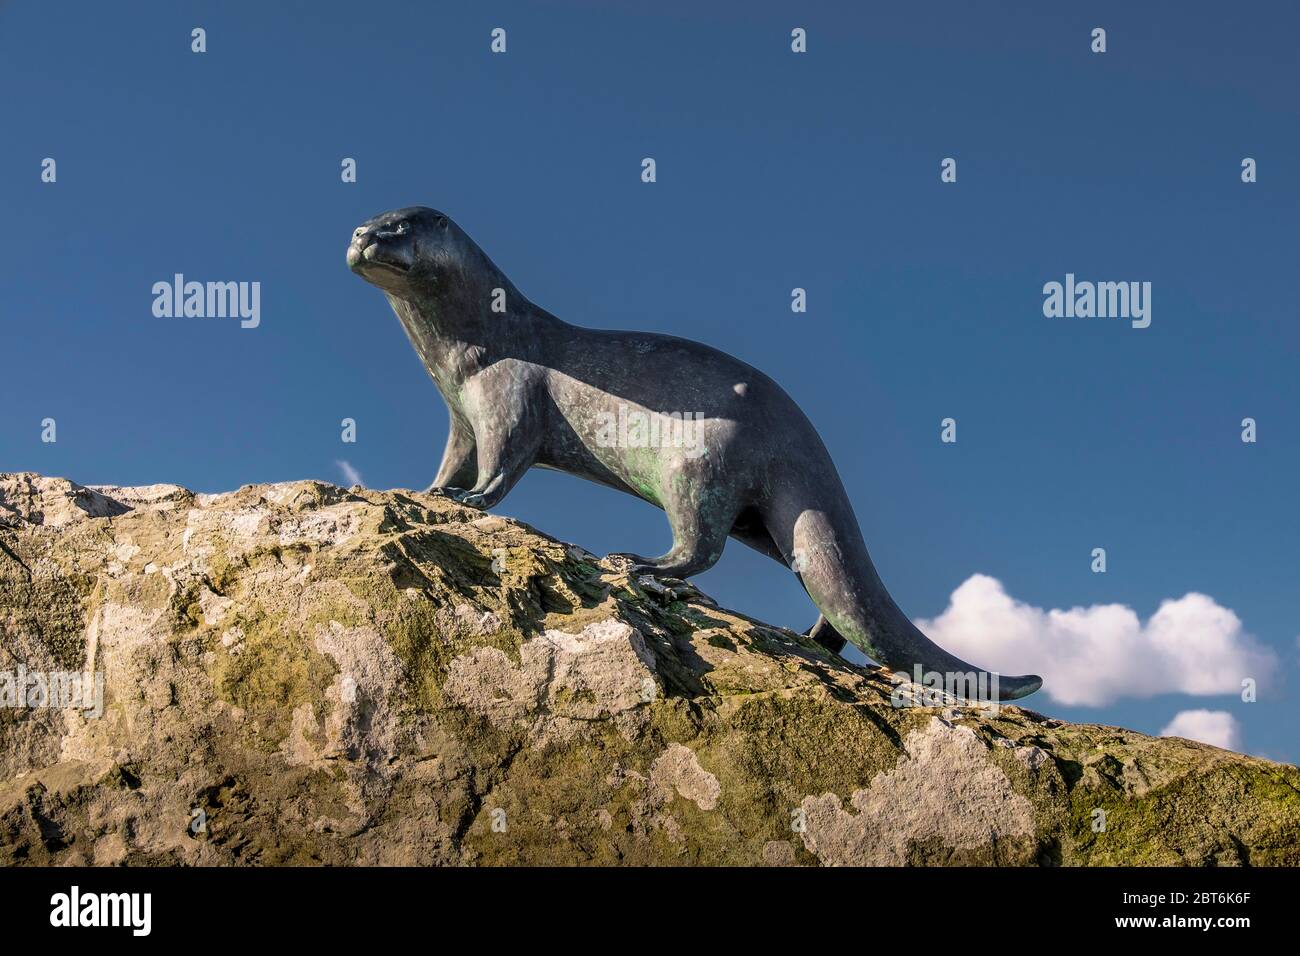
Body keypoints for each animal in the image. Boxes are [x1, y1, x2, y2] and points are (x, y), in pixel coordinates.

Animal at [348, 206, 1042, 700]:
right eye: (372, 218)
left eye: (399, 225)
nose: (359, 234)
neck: (477, 345)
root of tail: (803, 438)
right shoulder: (461, 415)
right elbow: (452, 458)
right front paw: (432, 490)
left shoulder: (509, 396)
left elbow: (500, 467)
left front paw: (468, 499)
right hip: (765, 518)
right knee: (825, 574)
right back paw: (810, 636)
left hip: (697, 465)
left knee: (701, 547)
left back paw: (641, 564)